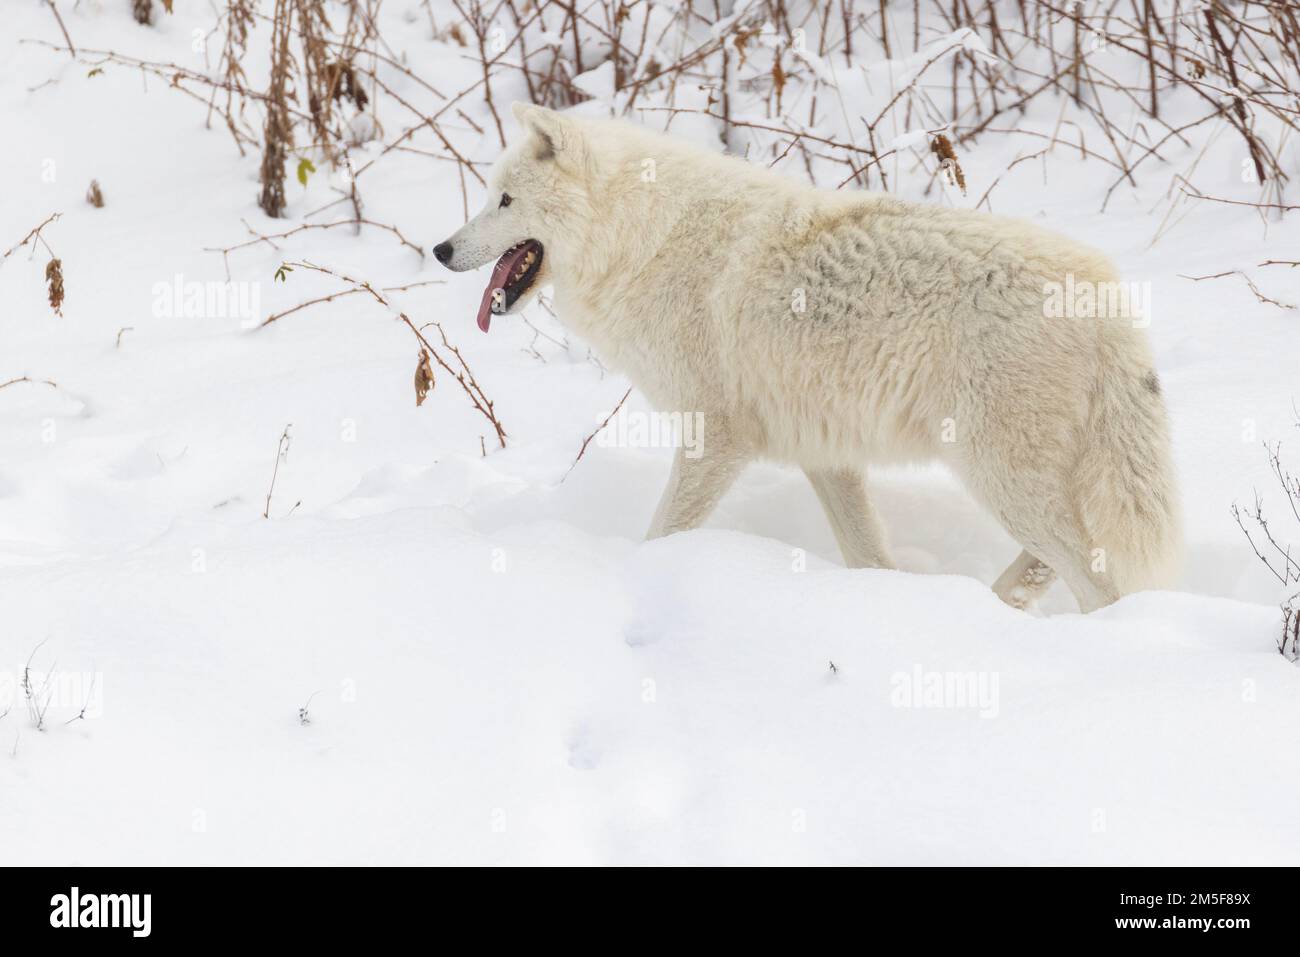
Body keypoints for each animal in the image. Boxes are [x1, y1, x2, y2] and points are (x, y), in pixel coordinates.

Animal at [433, 102, 1181, 612]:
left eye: (504, 199)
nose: (440, 249)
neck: (643, 237)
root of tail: (1109, 294)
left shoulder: (715, 438)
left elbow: (661, 535)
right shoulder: (825, 455)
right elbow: (867, 555)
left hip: (1000, 476)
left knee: (1098, 581)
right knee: (1055, 563)